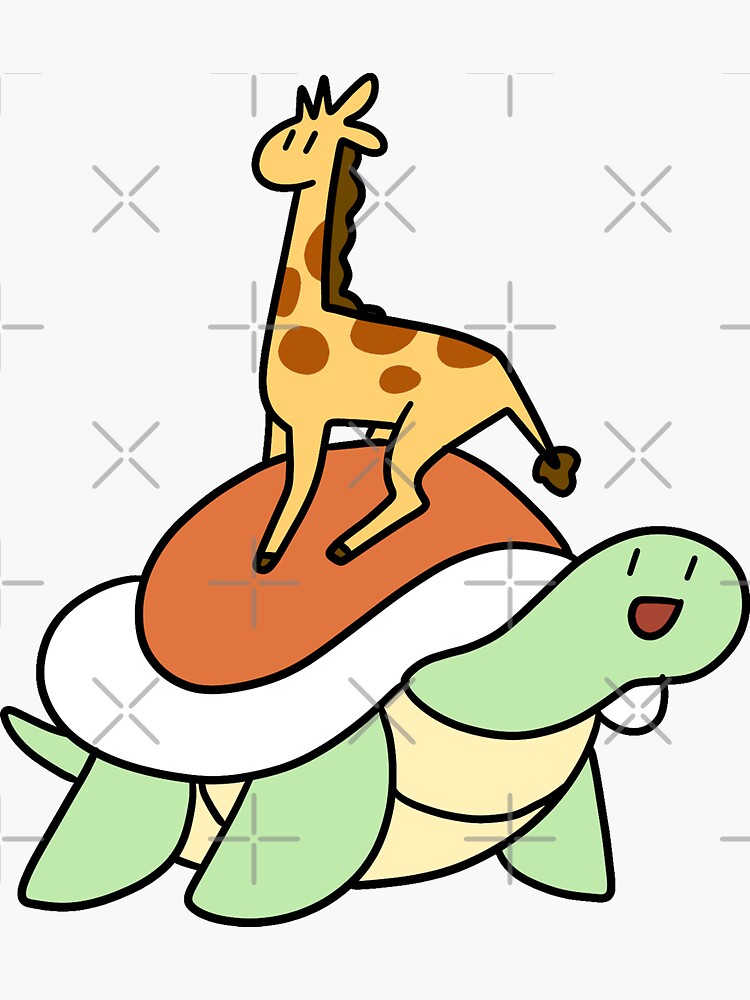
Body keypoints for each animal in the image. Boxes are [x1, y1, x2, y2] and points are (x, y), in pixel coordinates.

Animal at [252, 73, 579, 572]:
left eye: (300, 138)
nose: (263, 163)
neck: (306, 316)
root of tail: (505, 377)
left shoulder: (310, 423)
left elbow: (297, 490)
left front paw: (268, 557)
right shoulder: (279, 422)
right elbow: (264, 470)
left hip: (420, 433)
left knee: (412, 496)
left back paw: (343, 547)